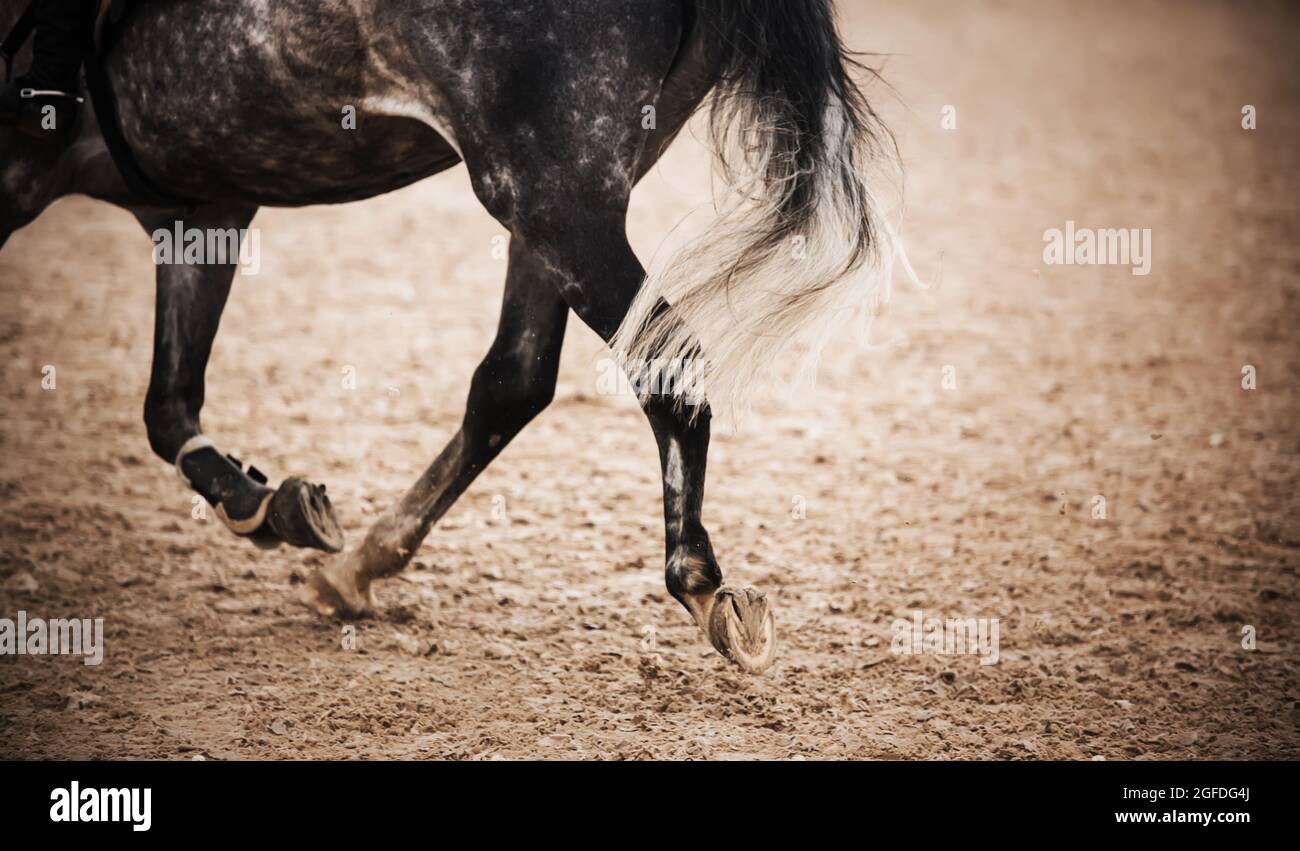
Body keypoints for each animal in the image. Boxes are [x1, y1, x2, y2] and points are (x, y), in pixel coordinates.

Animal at [0, 0, 907, 674]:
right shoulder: (203, 207)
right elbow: (169, 404)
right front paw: (264, 501)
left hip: (549, 190)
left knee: (662, 359)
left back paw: (699, 583)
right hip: (566, 191)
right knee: (516, 379)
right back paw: (355, 564)